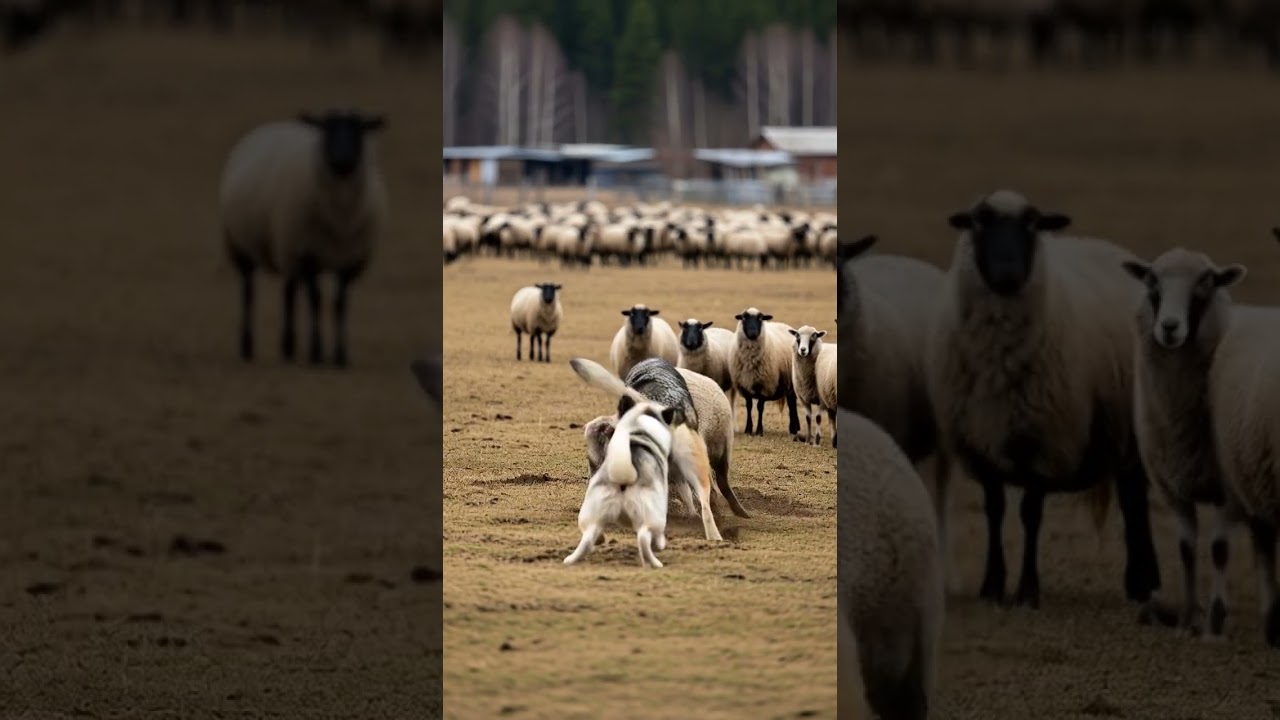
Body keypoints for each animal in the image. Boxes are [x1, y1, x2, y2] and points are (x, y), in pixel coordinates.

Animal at [219, 108, 388, 367]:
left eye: (359, 130)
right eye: (327, 128)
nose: (342, 159)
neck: (340, 217)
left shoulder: (347, 261)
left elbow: (340, 305)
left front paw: (340, 355)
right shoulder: (309, 256)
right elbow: (316, 300)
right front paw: (316, 352)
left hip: (288, 250)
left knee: (288, 292)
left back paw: (288, 347)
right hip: (242, 247)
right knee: (249, 293)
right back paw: (247, 346)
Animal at [731, 307, 801, 438]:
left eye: (760, 318)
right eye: (744, 317)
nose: (753, 333)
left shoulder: (764, 385)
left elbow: (760, 407)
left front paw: (759, 430)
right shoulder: (744, 386)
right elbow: (749, 406)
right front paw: (748, 429)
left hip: (793, 382)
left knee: (792, 404)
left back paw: (794, 429)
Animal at [926, 189, 1161, 608]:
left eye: (1032, 224)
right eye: (980, 220)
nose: (1007, 273)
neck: (997, 360)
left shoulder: (1043, 442)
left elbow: (1030, 513)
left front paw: (1027, 591)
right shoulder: (979, 446)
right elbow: (994, 510)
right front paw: (992, 585)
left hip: (1137, 427)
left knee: (1134, 497)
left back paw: (1141, 582)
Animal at [1120, 248, 1246, 639]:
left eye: (1206, 281)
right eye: (1152, 281)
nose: (1170, 327)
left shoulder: (1228, 488)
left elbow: (1219, 549)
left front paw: (1215, 620)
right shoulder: (1171, 484)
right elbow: (1186, 550)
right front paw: (1189, 616)